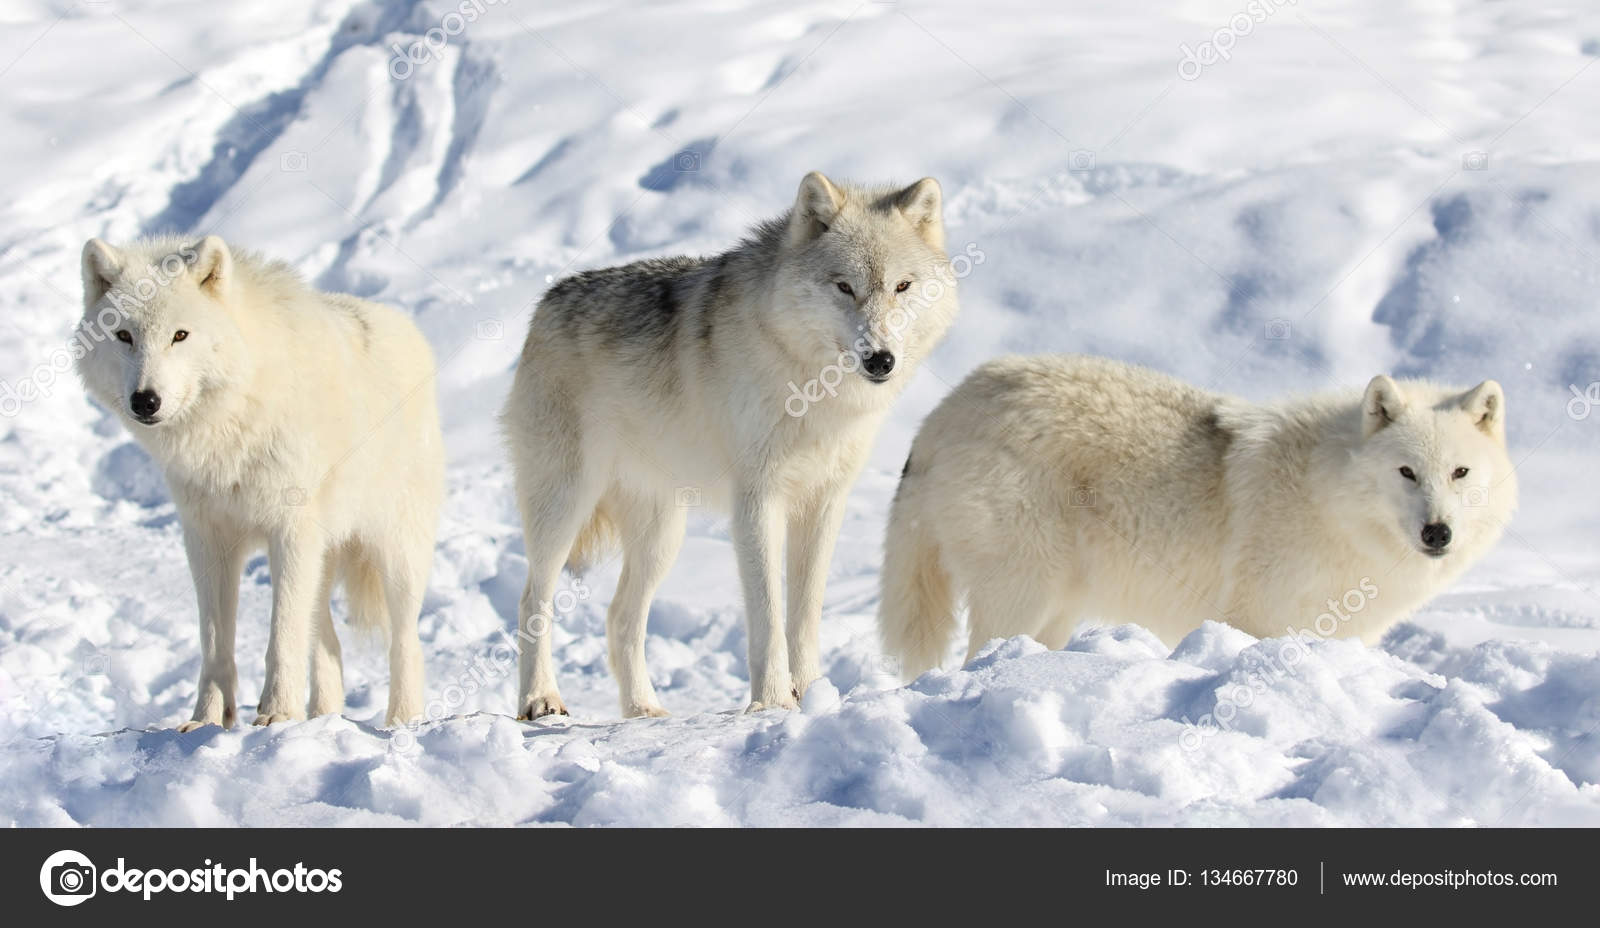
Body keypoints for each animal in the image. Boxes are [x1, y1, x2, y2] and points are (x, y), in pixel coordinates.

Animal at [77, 235, 443, 729]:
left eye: (180, 335)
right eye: (123, 336)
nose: (145, 401)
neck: (231, 419)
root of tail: (406, 327)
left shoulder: (289, 530)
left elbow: (281, 635)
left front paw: (276, 714)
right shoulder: (207, 538)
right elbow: (215, 642)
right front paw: (208, 720)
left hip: (395, 552)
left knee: (405, 643)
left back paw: (402, 722)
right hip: (323, 558)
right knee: (327, 643)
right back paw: (322, 718)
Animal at [503, 172, 959, 717]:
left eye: (902, 286)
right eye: (844, 286)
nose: (880, 359)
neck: (813, 391)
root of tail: (546, 302)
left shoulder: (824, 503)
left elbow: (805, 615)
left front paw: (814, 694)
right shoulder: (757, 501)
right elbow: (767, 616)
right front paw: (772, 704)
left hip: (662, 536)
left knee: (620, 617)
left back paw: (643, 710)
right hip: (565, 508)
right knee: (532, 600)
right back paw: (540, 700)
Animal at [879, 354, 1517, 676]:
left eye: (1460, 473)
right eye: (1407, 472)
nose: (1438, 532)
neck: (1327, 498)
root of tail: (945, 410)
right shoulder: (1254, 621)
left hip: (1056, 610)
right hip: (1023, 593)